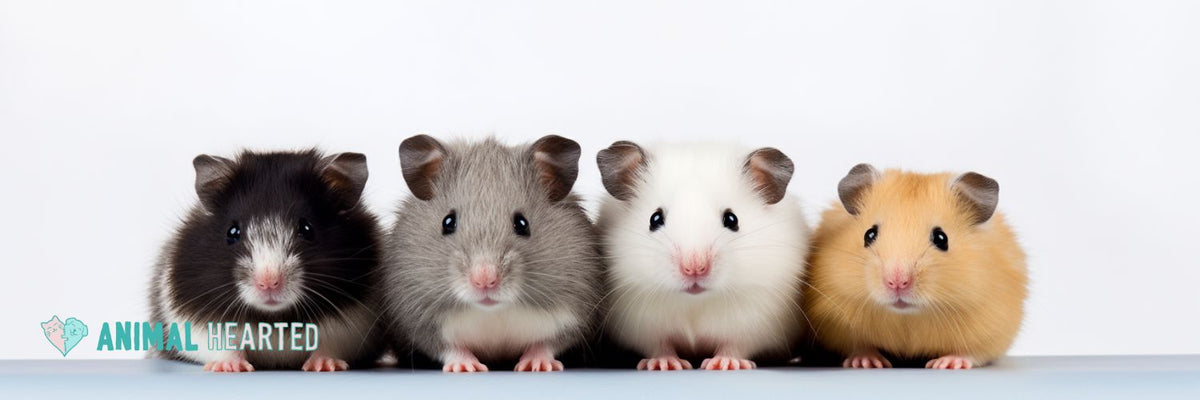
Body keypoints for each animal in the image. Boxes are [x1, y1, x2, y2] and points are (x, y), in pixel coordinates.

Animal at [149, 150, 385, 372]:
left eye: (307, 229)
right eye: (232, 232)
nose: (268, 283)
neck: (273, 316)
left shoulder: (351, 325)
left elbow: (328, 345)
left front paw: (325, 366)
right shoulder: (197, 321)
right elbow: (226, 346)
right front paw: (229, 367)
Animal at [382, 135, 602, 373]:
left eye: (522, 224)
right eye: (448, 222)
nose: (484, 281)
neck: (493, 312)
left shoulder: (575, 313)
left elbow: (548, 342)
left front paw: (537, 364)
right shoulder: (416, 320)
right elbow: (448, 347)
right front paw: (465, 367)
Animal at [595, 141, 810, 370]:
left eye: (732, 219)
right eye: (655, 219)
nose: (694, 269)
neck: (694, 303)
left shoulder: (756, 319)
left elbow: (734, 344)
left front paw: (724, 364)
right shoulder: (639, 322)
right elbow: (659, 345)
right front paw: (665, 364)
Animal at [804, 164, 1028, 369]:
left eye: (941, 238)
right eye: (869, 234)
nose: (897, 283)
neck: (907, 316)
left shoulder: (993, 326)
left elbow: (971, 351)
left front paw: (945, 364)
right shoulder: (837, 322)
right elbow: (857, 345)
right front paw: (867, 362)